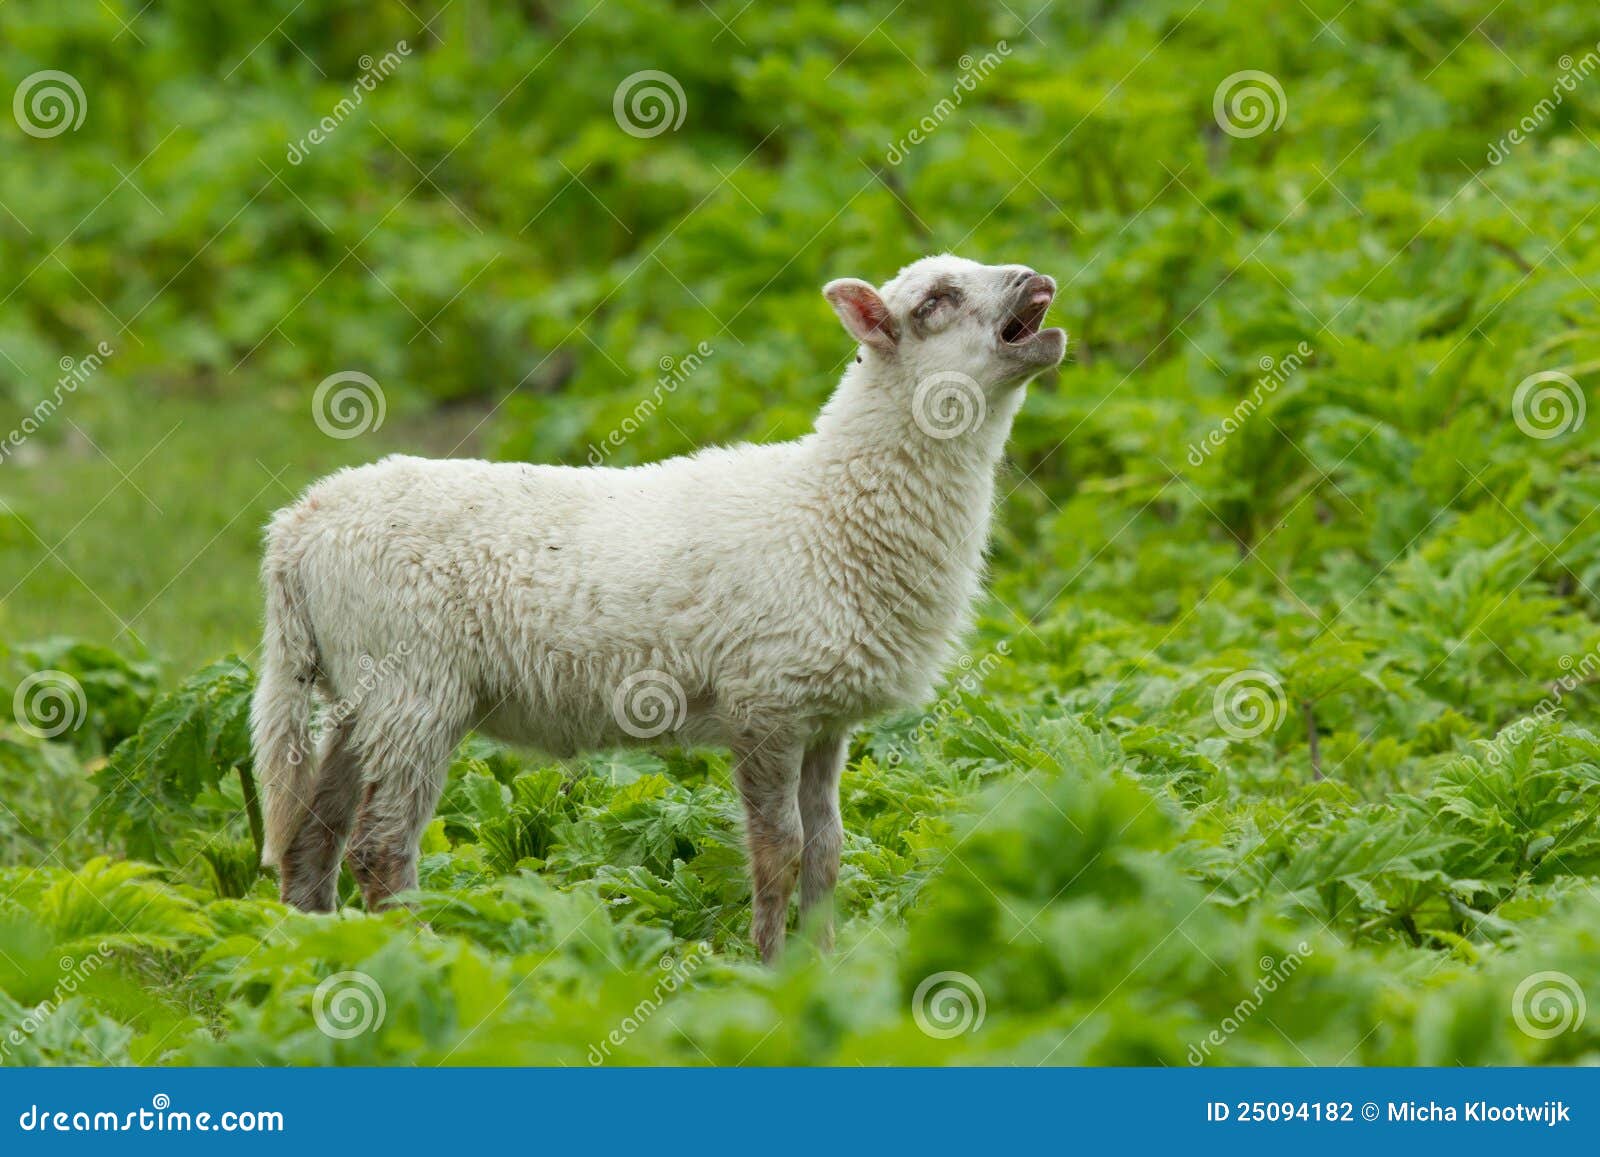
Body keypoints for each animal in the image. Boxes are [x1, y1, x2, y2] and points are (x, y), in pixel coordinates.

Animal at [250, 254, 1065, 962]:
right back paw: (416, 955)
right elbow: (779, 850)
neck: (828, 507)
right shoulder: (764, 701)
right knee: (380, 847)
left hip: (358, 693)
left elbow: (828, 852)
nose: (1037, 280)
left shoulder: (823, 716)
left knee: (313, 834)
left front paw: (825, 966)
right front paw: (770, 969)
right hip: (412, 685)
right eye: (934, 303)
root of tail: (297, 530)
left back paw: (308, 953)